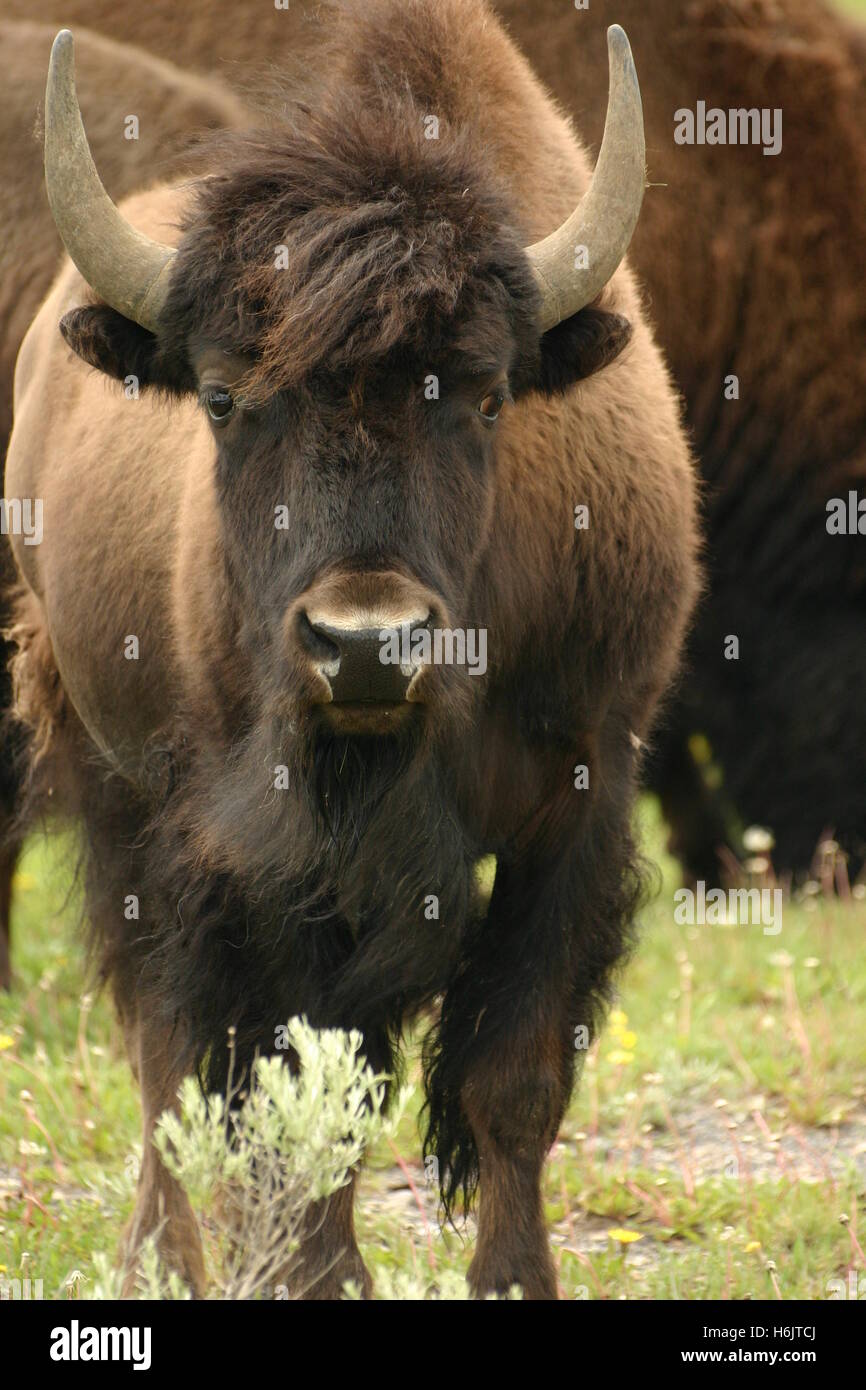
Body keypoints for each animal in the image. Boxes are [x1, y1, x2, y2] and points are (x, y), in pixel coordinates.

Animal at [7, 0, 699, 1297]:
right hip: (110, 773)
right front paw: (315, 1272)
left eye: (485, 397)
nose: (365, 645)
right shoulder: (265, 857)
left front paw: (514, 1277)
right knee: (161, 1040)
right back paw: (164, 1257)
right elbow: (297, 1074)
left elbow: (511, 1076)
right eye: (222, 399)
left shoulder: (581, 795)